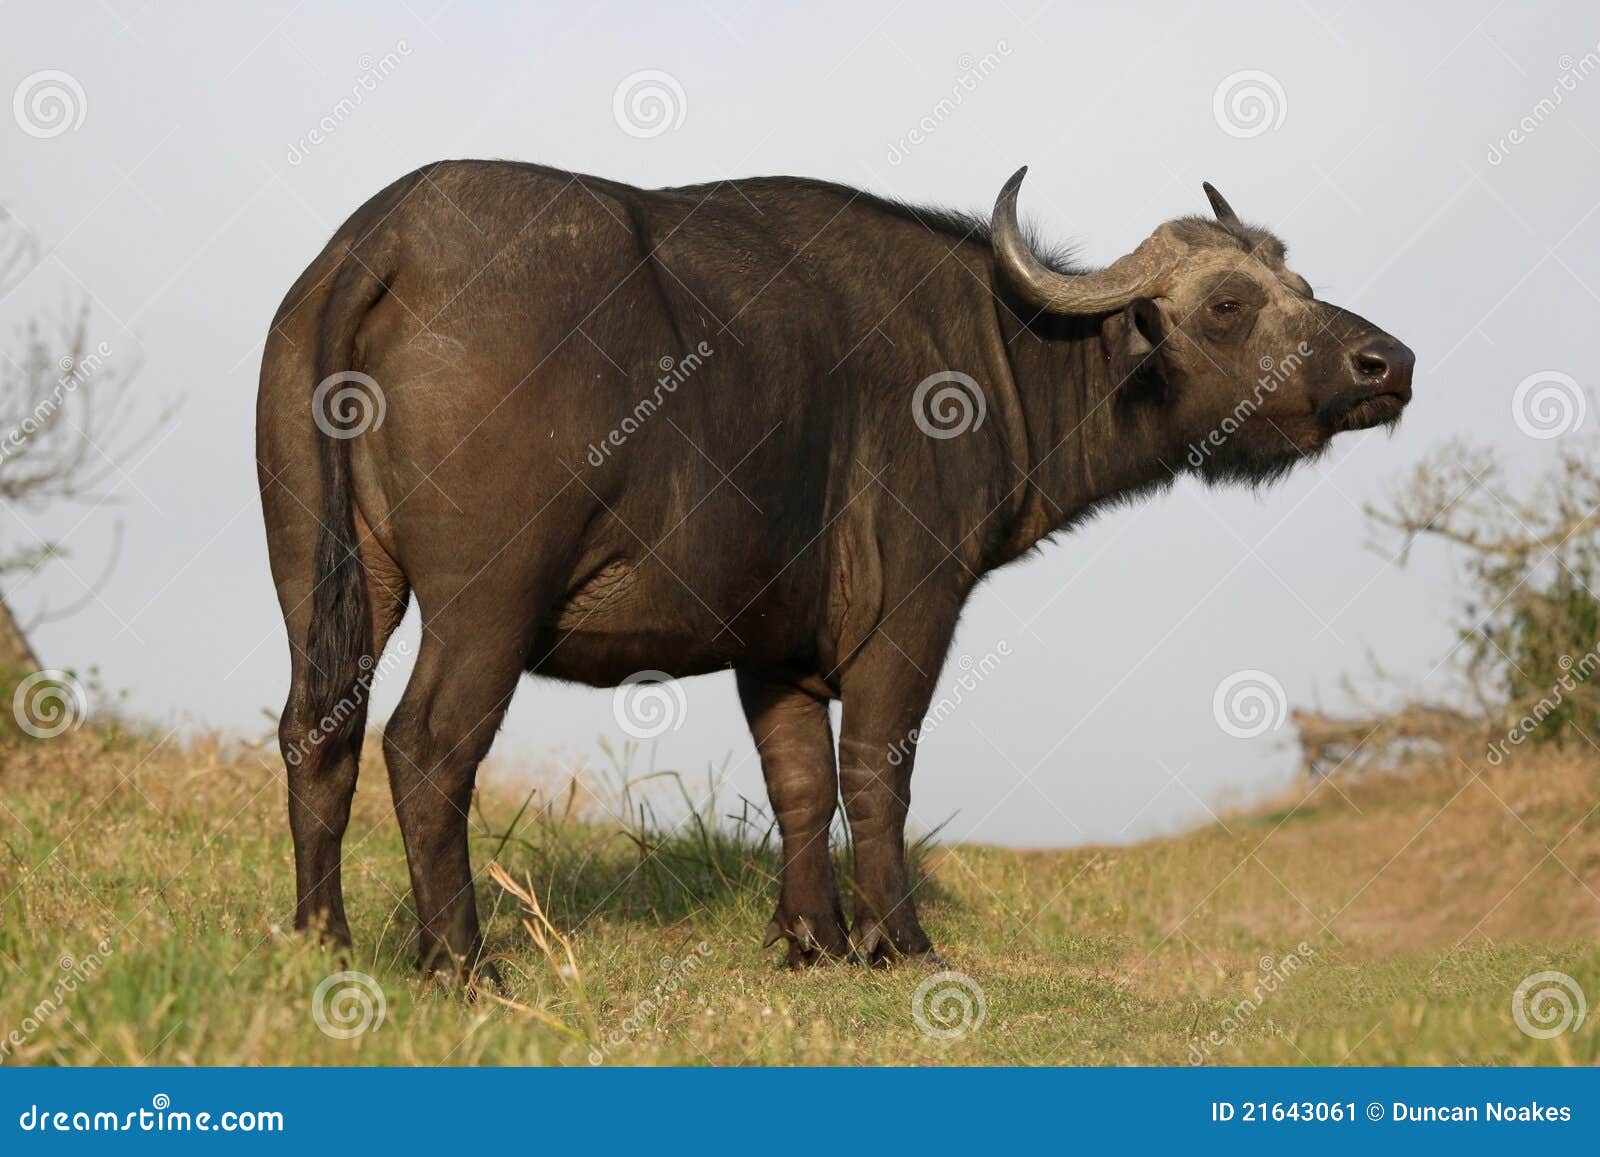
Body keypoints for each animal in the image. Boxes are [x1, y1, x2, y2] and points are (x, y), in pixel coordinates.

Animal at [257, 161, 1413, 974]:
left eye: (1300, 284)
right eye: (1227, 305)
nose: (1386, 363)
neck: (996, 350)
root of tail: (387, 238)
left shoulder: (773, 647)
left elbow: (800, 782)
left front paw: (807, 936)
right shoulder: (914, 609)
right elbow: (876, 770)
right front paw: (896, 940)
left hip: (325, 577)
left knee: (318, 731)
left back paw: (324, 939)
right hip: (488, 600)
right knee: (426, 744)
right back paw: (460, 961)